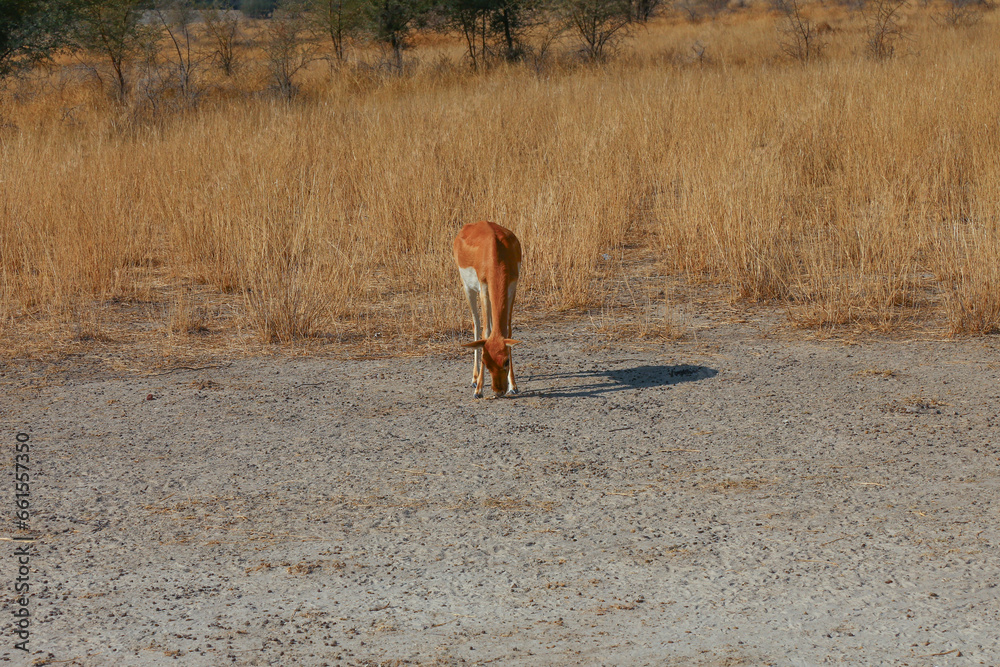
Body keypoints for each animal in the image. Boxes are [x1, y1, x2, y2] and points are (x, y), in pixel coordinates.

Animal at [453, 221, 522, 398]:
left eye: (506, 361)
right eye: (485, 361)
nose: (499, 391)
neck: (496, 251)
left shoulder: (512, 285)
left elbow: (508, 331)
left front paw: (513, 386)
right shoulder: (484, 287)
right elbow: (485, 332)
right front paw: (478, 390)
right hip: (468, 289)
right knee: (476, 325)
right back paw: (474, 379)